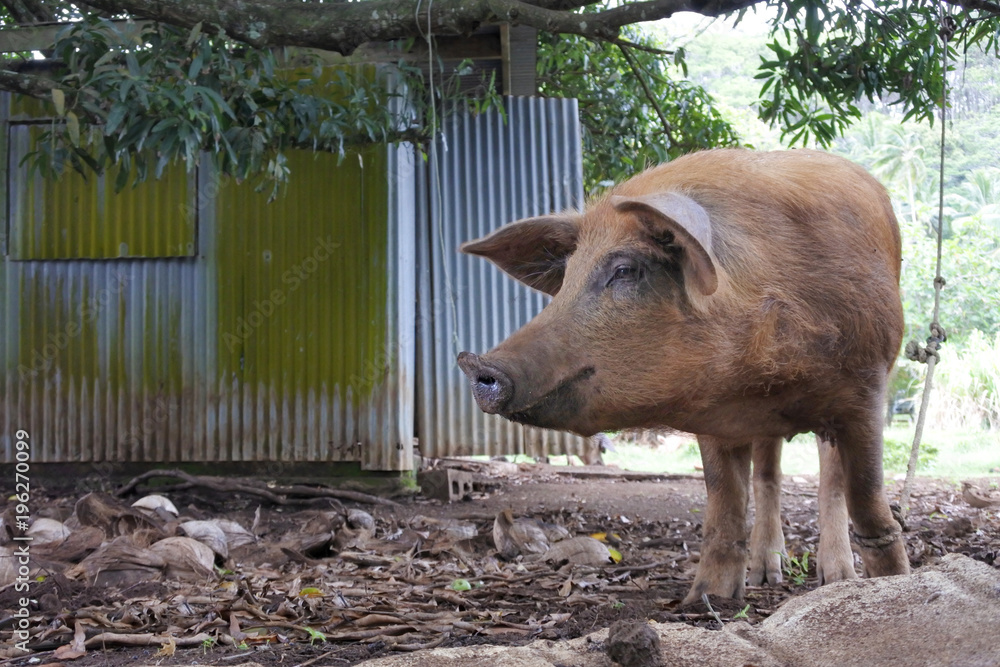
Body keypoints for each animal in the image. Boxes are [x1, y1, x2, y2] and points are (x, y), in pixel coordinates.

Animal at [456, 148, 909, 603]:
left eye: (626, 269)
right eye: (567, 277)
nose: (475, 363)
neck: (760, 375)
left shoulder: (866, 388)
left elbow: (865, 494)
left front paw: (893, 581)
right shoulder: (713, 417)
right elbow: (723, 498)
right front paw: (704, 599)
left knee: (829, 479)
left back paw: (835, 579)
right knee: (768, 476)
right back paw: (766, 576)